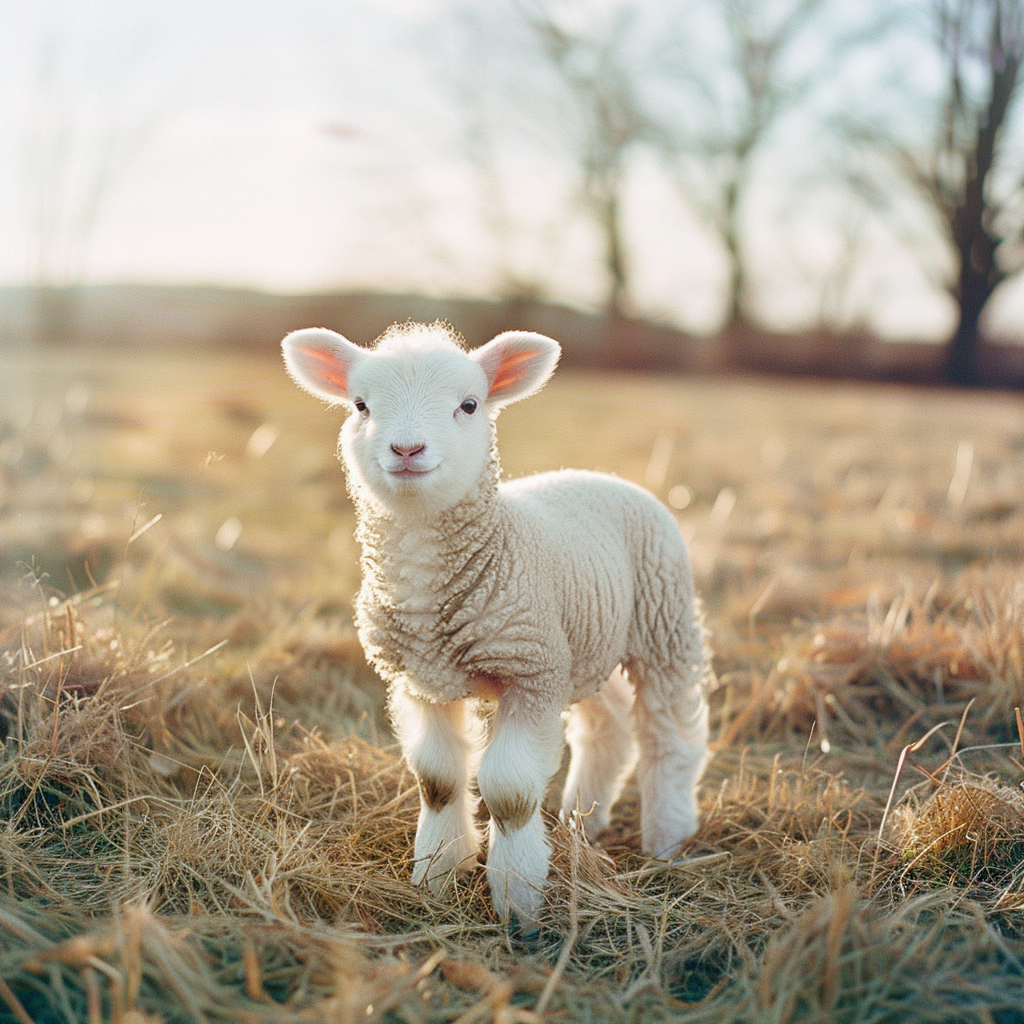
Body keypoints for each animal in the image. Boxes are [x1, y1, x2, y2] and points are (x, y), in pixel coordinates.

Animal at [282, 321, 711, 931]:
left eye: (468, 404)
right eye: (360, 405)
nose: (407, 449)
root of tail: (597, 474)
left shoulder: (527, 673)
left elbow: (509, 792)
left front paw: (518, 898)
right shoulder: (422, 679)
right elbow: (437, 780)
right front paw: (436, 874)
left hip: (661, 623)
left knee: (669, 736)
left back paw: (667, 838)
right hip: (580, 646)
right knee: (607, 731)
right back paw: (583, 821)